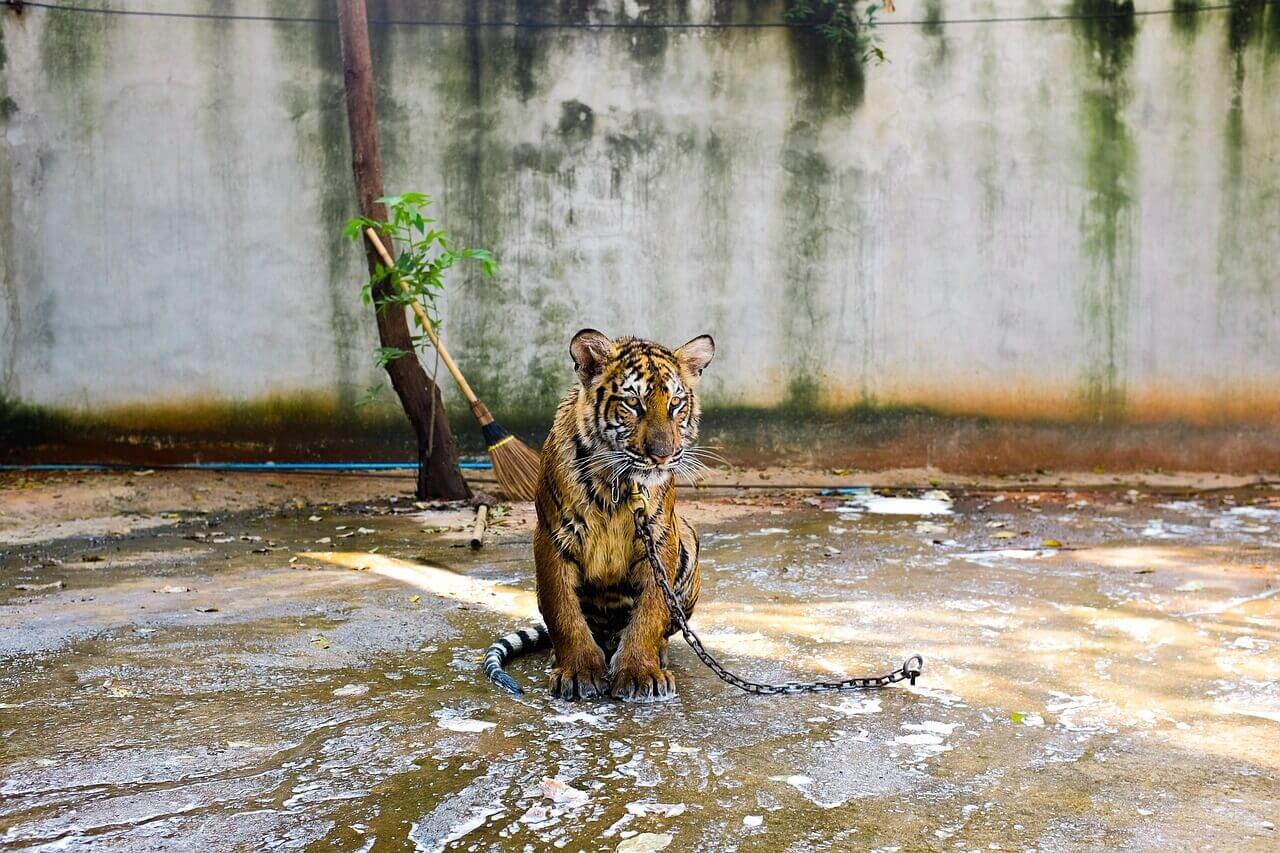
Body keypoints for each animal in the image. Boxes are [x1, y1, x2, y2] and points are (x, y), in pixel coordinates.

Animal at [483, 328, 715, 701]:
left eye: (676, 404)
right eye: (633, 403)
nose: (663, 457)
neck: (616, 485)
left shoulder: (659, 538)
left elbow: (650, 613)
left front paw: (640, 671)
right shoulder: (553, 536)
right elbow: (562, 611)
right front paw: (578, 670)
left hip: (688, 539)